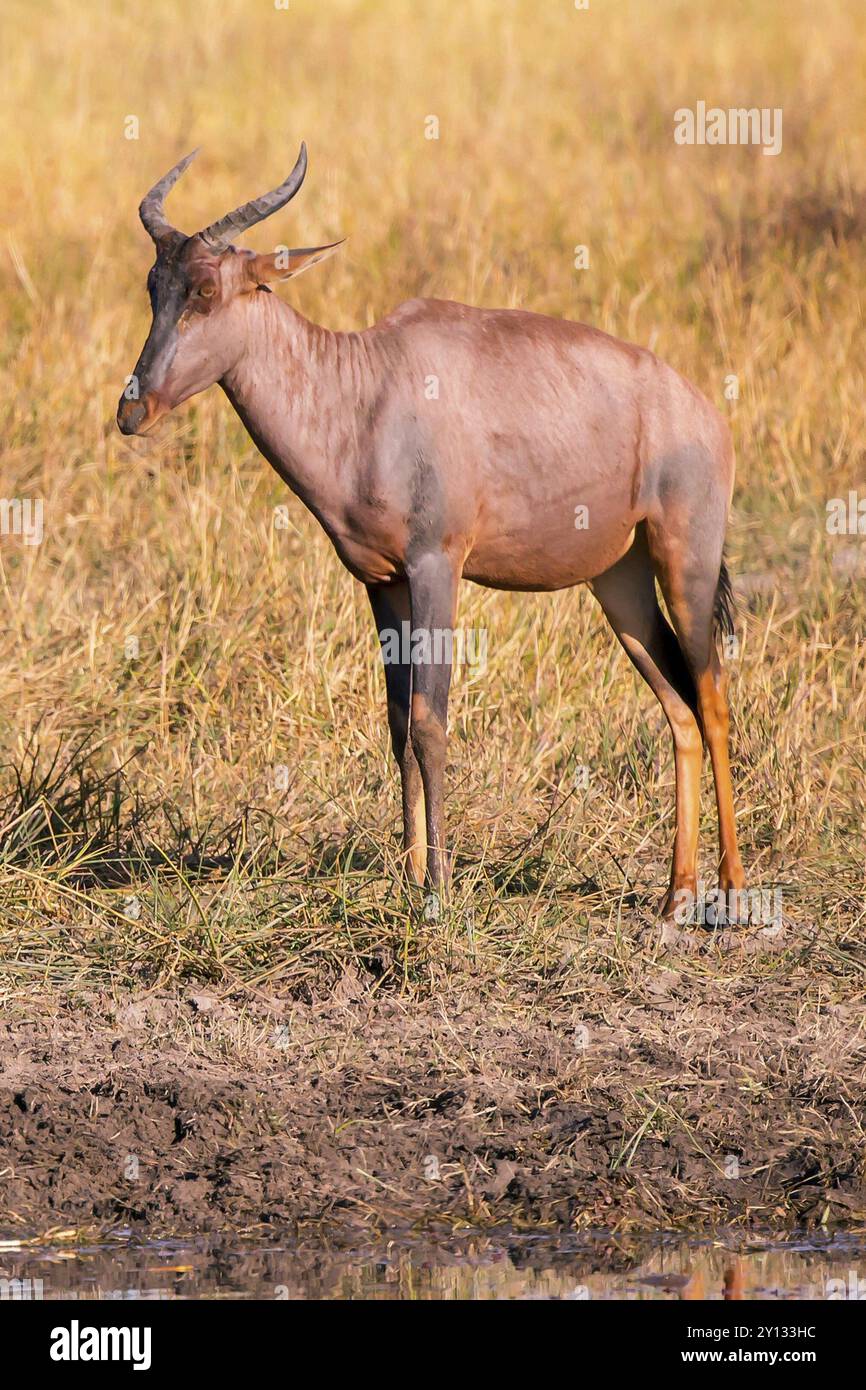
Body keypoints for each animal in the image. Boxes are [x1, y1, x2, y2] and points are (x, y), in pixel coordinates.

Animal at [118, 145, 746, 919]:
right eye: (154, 284)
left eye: (206, 289)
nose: (131, 411)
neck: (368, 389)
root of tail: (703, 412)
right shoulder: (382, 582)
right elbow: (396, 723)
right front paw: (410, 875)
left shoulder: (436, 567)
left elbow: (431, 721)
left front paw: (439, 893)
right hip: (619, 582)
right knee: (679, 709)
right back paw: (676, 894)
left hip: (686, 558)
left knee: (713, 700)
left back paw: (732, 887)